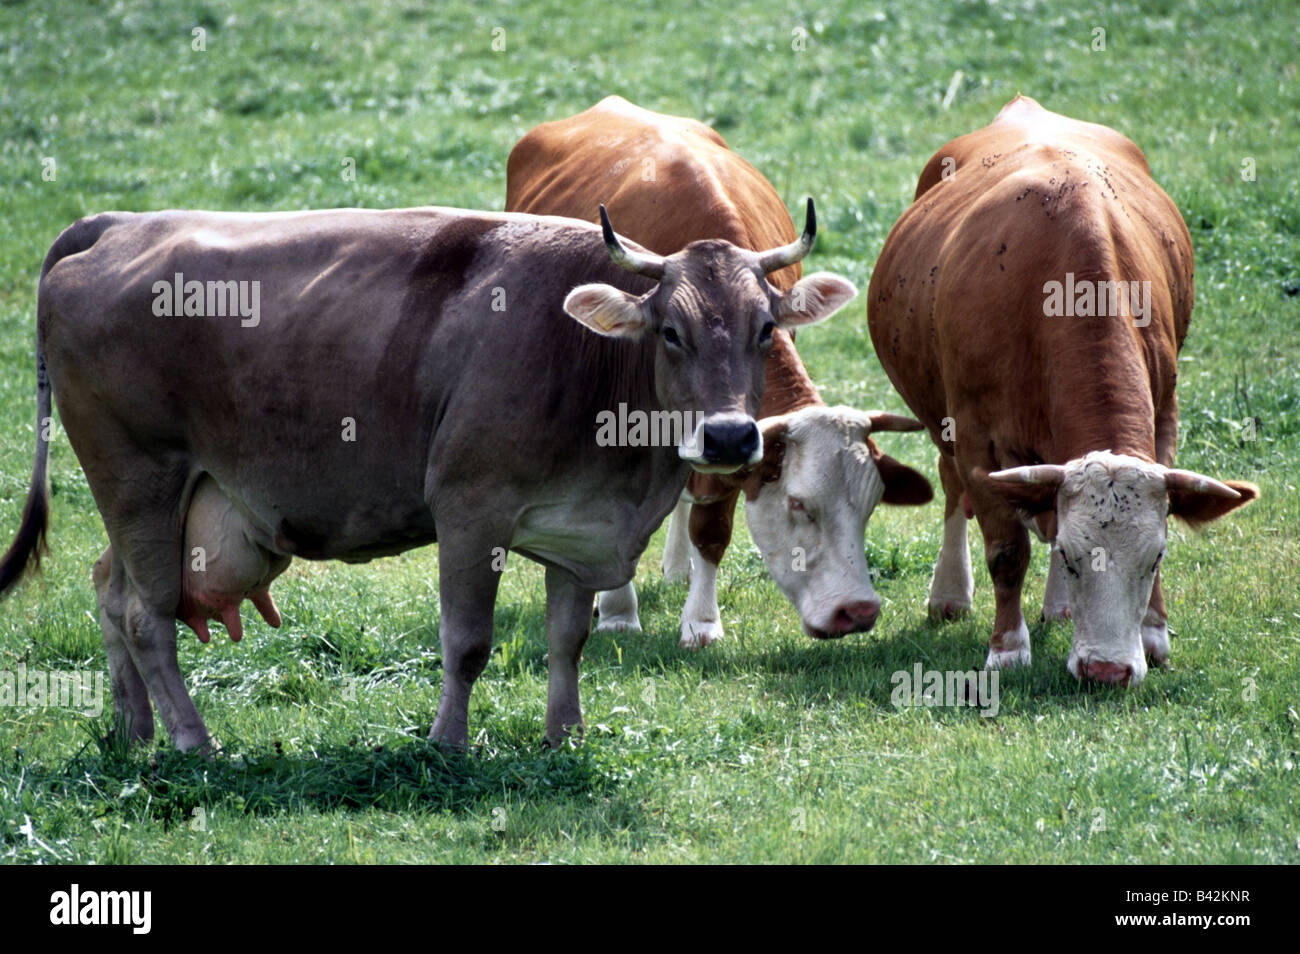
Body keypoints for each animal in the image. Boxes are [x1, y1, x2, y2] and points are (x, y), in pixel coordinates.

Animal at [0, 201, 857, 751]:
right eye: (671, 331)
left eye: (765, 327)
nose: (730, 434)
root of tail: (117, 224)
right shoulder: (471, 511)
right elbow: (468, 641)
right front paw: (447, 744)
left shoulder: (578, 526)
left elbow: (569, 638)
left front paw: (565, 736)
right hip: (137, 475)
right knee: (147, 615)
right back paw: (190, 741)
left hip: (156, 502)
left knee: (110, 588)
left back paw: (133, 729)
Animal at [507, 96, 933, 647]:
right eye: (798, 503)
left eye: (767, 326)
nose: (856, 612)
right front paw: (619, 611)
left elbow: (711, 527)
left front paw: (702, 620)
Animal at [868, 95, 1259, 686]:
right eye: (1076, 559)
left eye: (1155, 559)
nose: (1108, 671)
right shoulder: (975, 437)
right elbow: (1008, 550)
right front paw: (1008, 649)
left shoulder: (1164, 418)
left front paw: (1154, 634)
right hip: (943, 421)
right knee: (954, 487)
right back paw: (951, 593)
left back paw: (1057, 608)